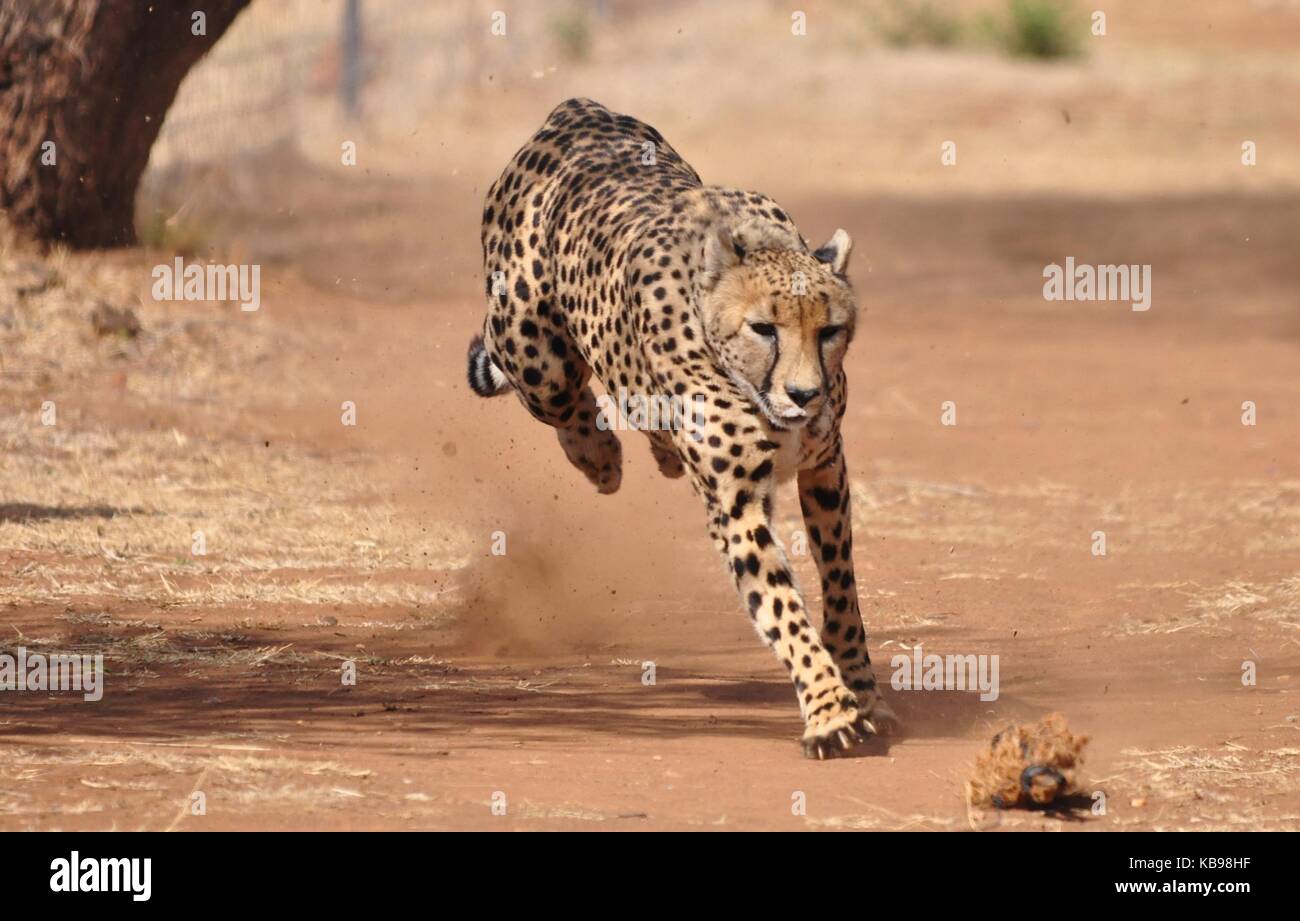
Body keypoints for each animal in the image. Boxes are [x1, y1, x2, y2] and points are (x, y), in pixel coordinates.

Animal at [466, 98, 897, 758]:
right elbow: (781, 605)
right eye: (764, 328)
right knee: (559, 395)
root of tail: (577, 108)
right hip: (530, 350)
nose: (805, 394)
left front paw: (862, 689)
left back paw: (656, 451)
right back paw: (600, 457)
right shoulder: (736, 502)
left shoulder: (826, 466)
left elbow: (841, 585)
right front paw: (830, 710)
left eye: (829, 330)